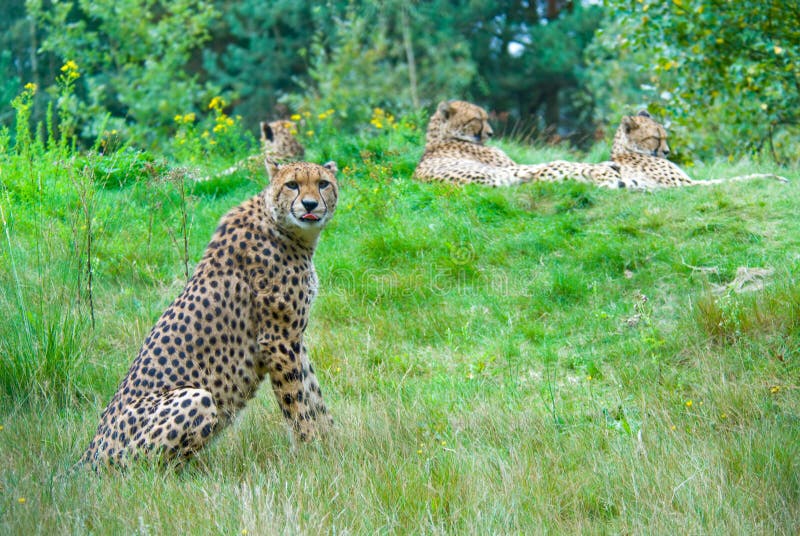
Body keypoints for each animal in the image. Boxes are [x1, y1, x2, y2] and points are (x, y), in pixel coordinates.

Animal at [81, 158, 338, 469]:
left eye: (323, 183)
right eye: (292, 185)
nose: (310, 204)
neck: (284, 227)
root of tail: (86, 454)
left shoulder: (293, 338)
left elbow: (313, 392)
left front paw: (333, 442)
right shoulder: (277, 338)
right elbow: (296, 401)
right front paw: (311, 451)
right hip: (195, 398)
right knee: (144, 469)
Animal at [530, 111, 788, 189]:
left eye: (665, 136)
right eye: (655, 137)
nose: (667, 152)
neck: (627, 150)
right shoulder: (687, 185)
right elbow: (736, 179)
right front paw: (776, 177)